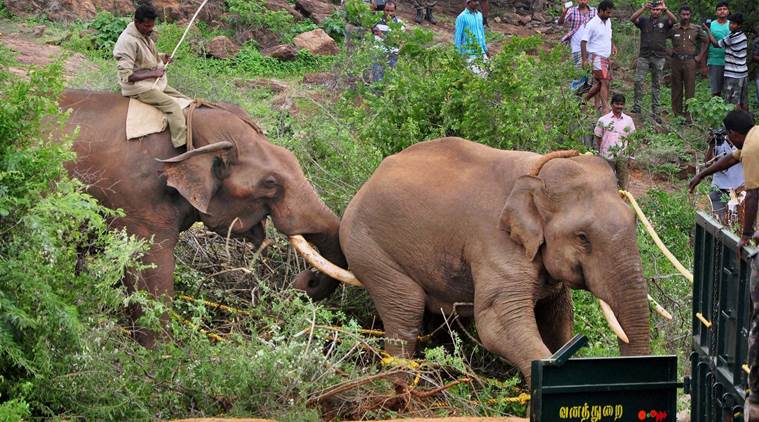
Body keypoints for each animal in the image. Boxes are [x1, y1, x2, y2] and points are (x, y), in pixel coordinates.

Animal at [60, 89, 345, 346]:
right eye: (270, 183)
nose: (308, 278)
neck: (191, 135)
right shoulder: (136, 202)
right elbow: (152, 268)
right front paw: (159, 354)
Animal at [338, 137, 651, 384]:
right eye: (583, 237)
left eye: (634, 221)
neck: (537, 174)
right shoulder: (496, 244)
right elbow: (497, 322)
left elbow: (557, 316)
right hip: (367, 247)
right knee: (406, 307)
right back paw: (400, 390)